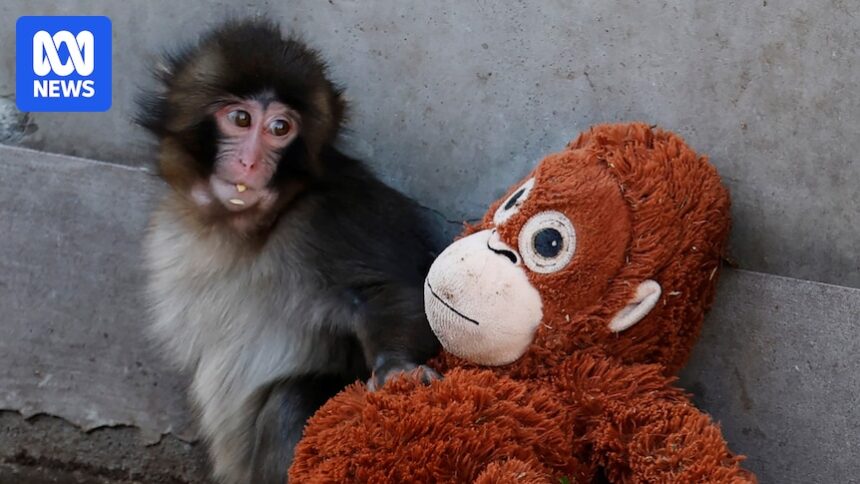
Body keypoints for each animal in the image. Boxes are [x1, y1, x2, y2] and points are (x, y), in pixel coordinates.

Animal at [137, 20, 441, 484]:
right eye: (241, 119)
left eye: (280, 128)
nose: (249, 162)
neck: (248, 228)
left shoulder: (334, 216)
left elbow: (388, 292)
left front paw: (396, 369)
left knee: (292, 402)